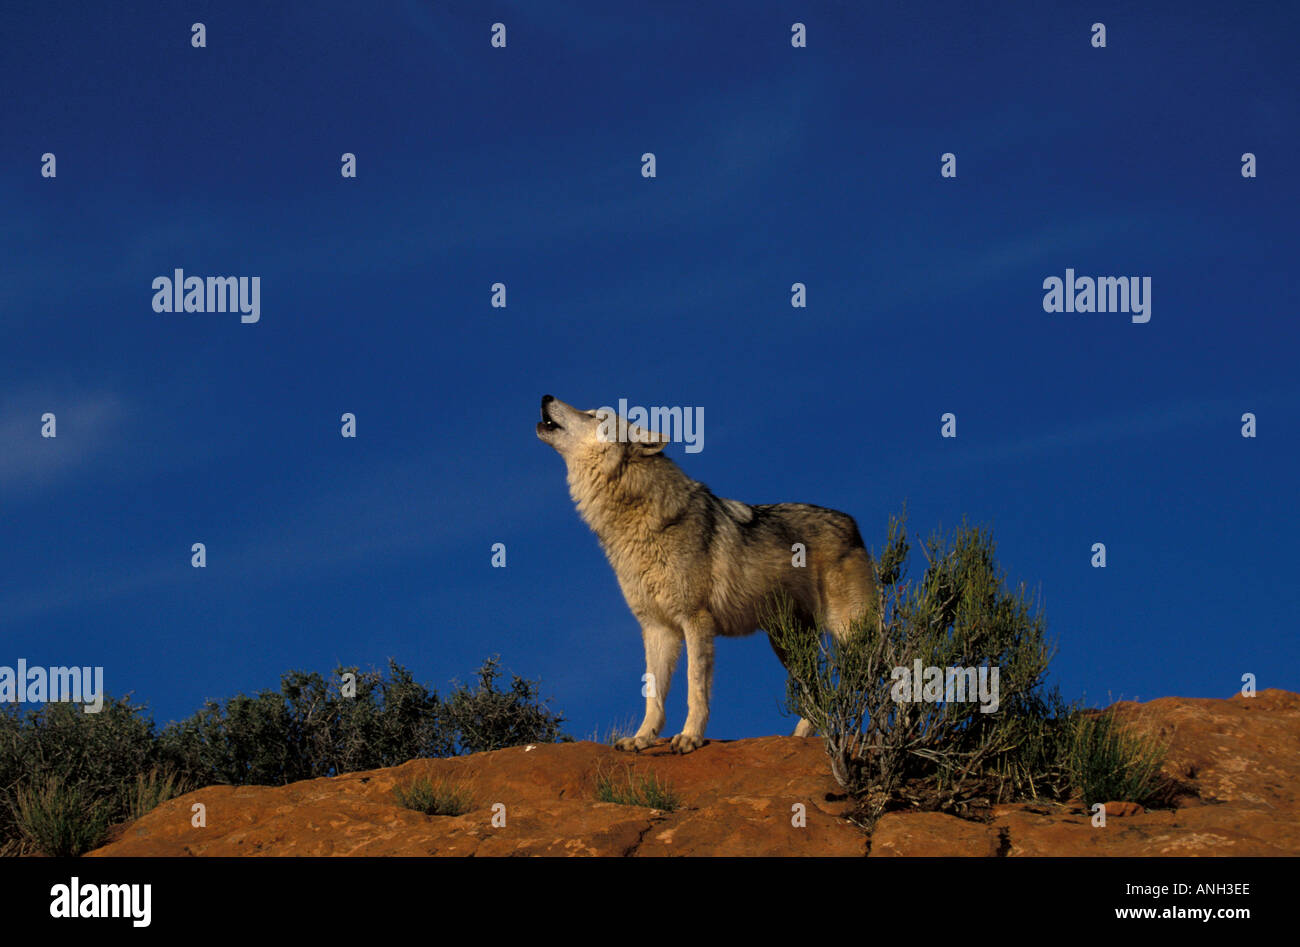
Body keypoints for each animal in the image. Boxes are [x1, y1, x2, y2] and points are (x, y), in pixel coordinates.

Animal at [536, 395, 875, 753]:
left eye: (595, 416)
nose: (546, 397)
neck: (637, 520)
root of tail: (852, 523)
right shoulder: (657, 628)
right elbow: (653, 694)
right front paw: (642, 739)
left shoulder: (695, 619)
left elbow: (695, 687)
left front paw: (690, 737)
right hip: (787, 644)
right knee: (819, 695)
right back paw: (798, 739)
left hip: (848, 632)